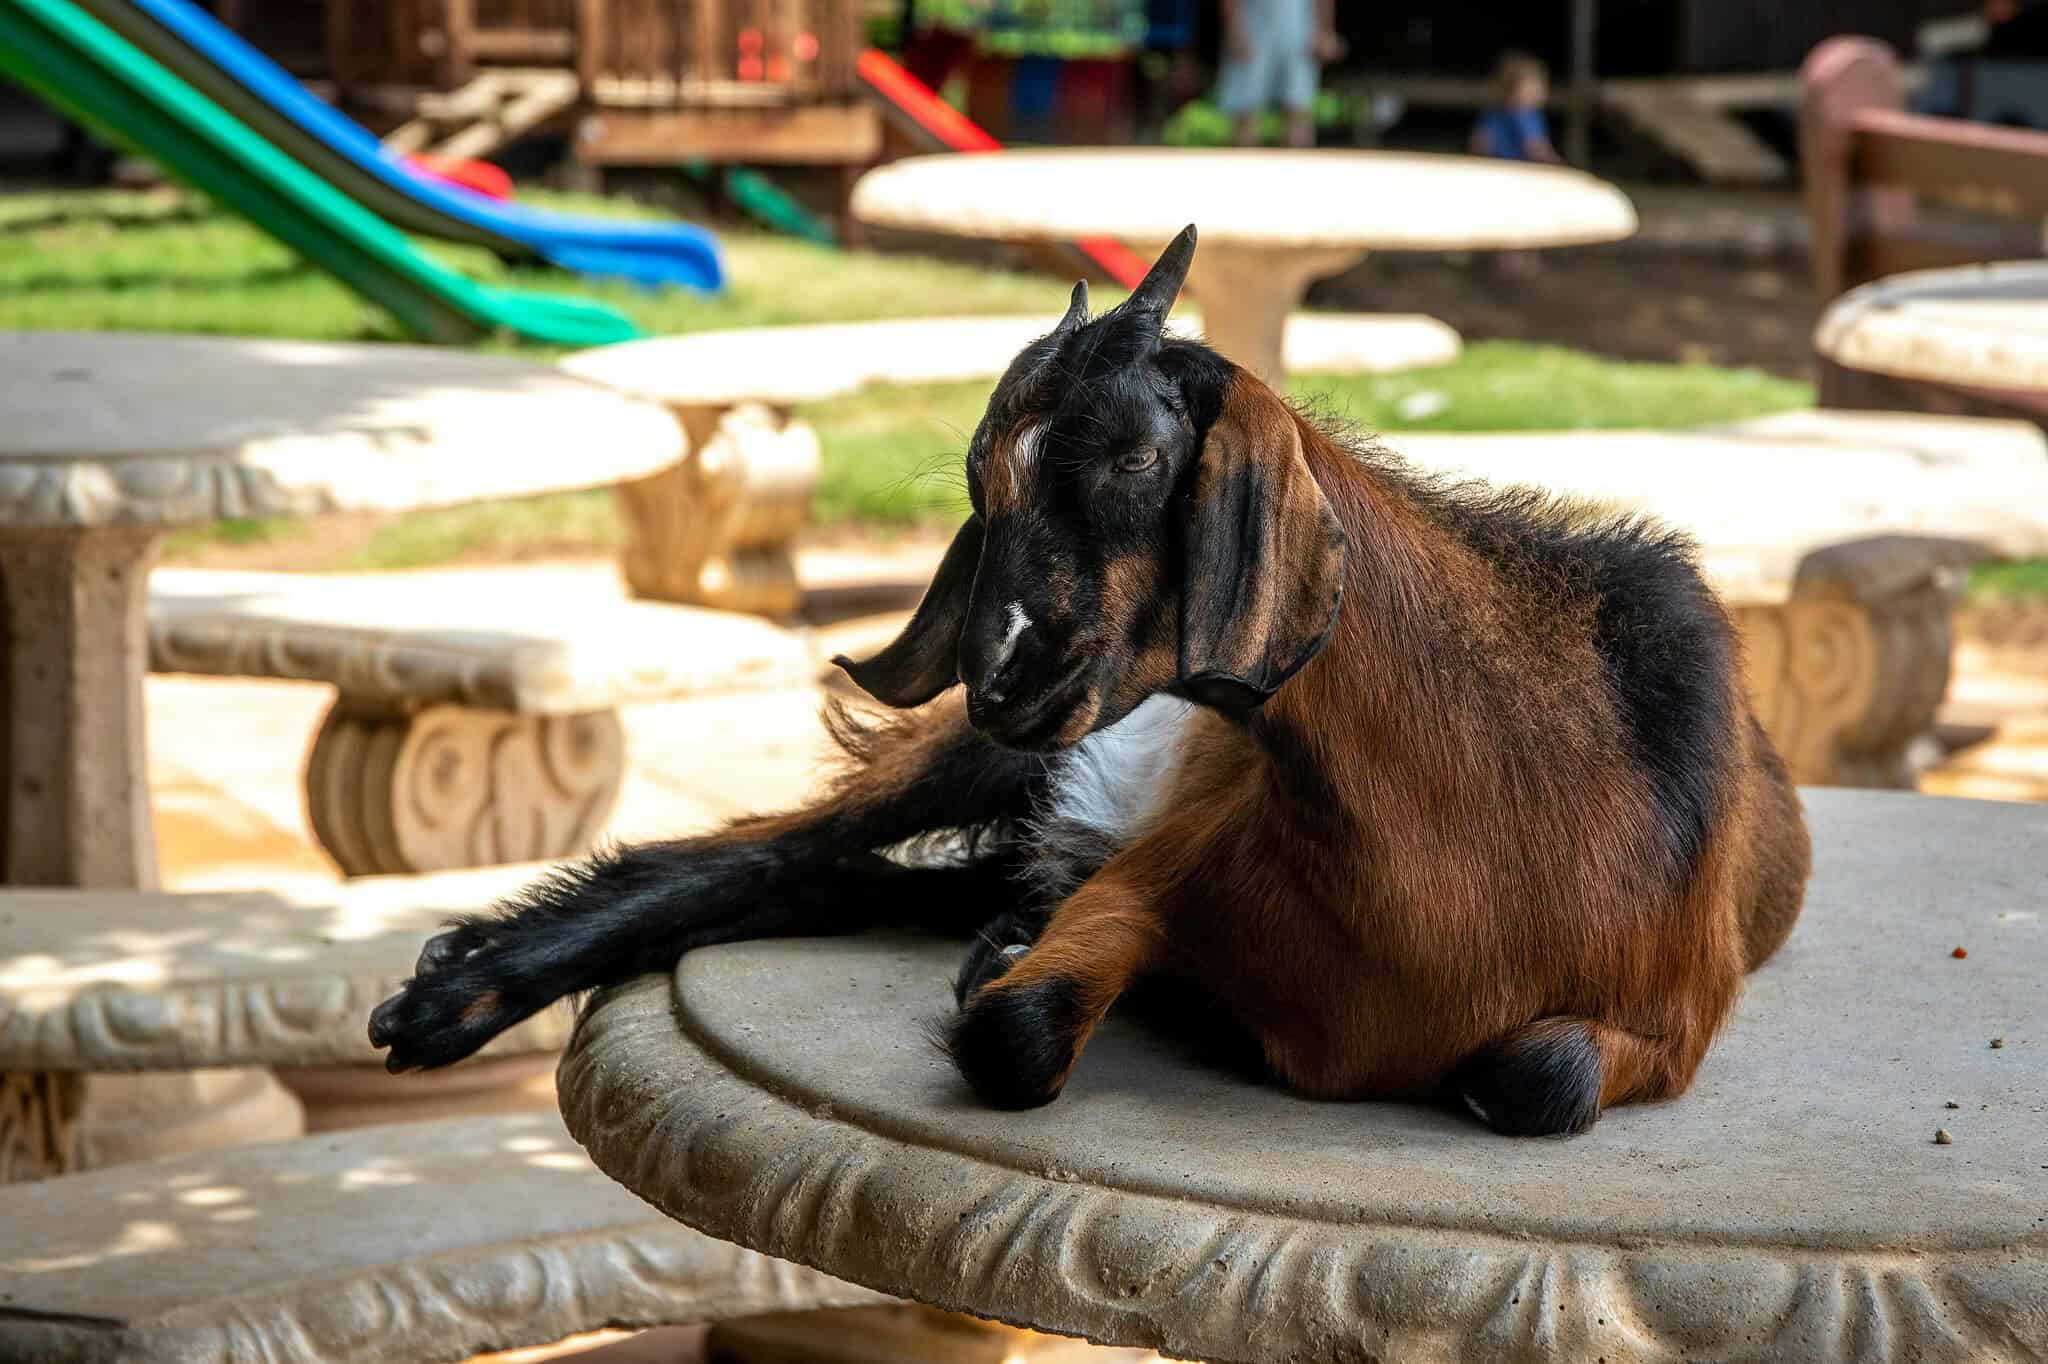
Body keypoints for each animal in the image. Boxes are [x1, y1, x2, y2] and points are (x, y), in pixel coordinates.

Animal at [369, 226, 1811, 1136]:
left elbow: (1539, 1075)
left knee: (851, 877)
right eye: (978, 479)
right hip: (1003, 765)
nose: (1001, 666)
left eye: (1136, 460)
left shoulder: (1674, 1021)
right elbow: (1014, 1033)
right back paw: (453, 990)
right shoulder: (1156, 867)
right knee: (774, 846)